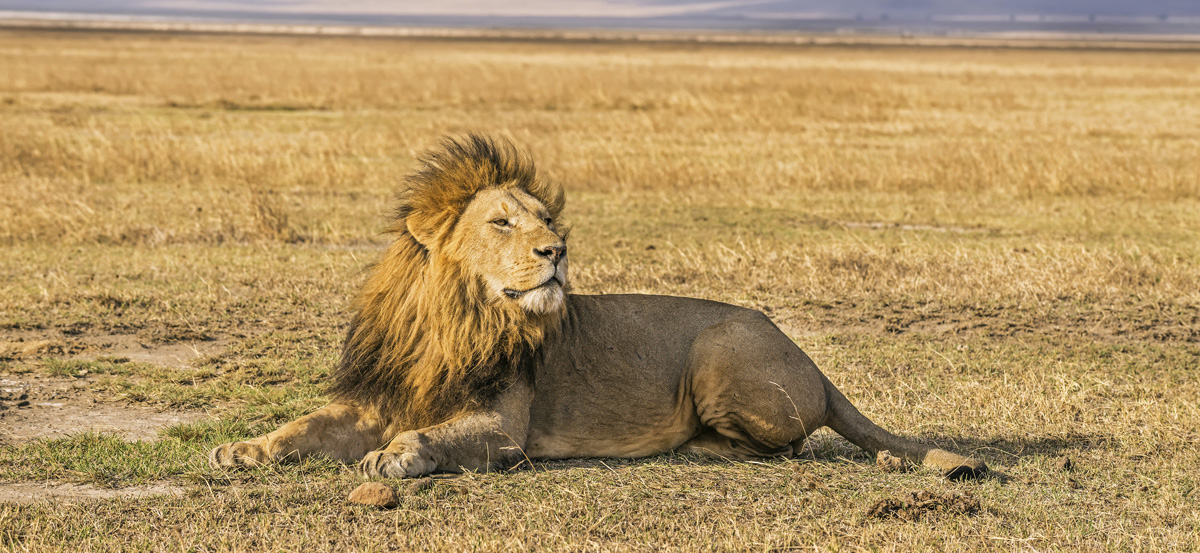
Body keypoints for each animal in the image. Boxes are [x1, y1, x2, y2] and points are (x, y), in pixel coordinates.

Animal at [210, 134, 987, 481]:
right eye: (502, 222)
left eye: (547, 217)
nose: (555, 250)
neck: (455, 320)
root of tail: (816, 363)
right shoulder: (378, 398)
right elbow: (301, 427)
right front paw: (243, 447)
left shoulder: (504, 429)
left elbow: (433, 437)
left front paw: (396, 457)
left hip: (721, 345)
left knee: (788, 443)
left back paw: (698, 446)